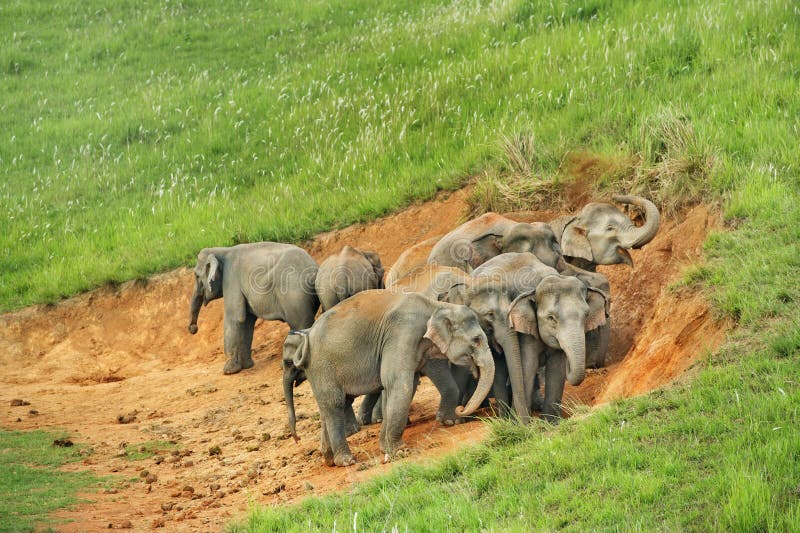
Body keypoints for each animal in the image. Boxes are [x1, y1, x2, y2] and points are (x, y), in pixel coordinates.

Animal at [187, 242, 319, 375]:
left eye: (196, 276)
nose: (193, 329)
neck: (222, 250)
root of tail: (313, 269)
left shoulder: (231, 279)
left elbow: (235, 318)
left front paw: (229, 371)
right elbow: (247, 321)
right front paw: (247, 366)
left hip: (293, 294)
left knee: (298, 324)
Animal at [281, 290, 495, 466]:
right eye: (477, 340)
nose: (462, 410)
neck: (435, 306)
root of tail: (308, 339)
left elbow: (412, 381)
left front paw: (449, 423)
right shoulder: (403, 334)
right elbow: (399, 383)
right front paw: (399, 452)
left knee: (331, 406)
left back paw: (329, 460)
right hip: (322, 366)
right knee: (335, 404)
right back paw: (346, 461)